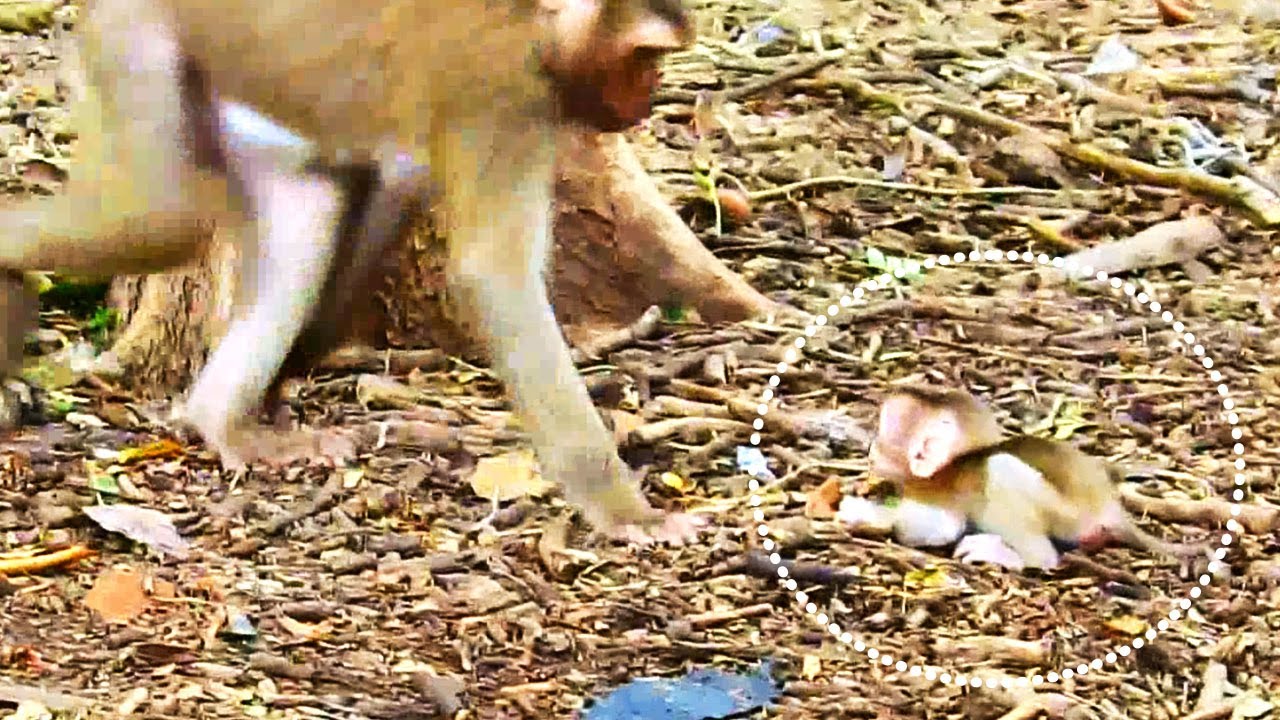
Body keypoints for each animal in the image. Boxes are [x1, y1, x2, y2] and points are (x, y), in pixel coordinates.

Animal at [0, 0, 703, 545]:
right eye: (642, 57)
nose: (648, 96)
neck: (538, 26)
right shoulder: (504, 101)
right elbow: (492, 274)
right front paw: (623, 510)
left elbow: (391, 182)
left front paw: (287, 380)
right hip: (135, 41)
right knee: (167, 218)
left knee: (305, 210)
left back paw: (222, 420)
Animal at [868, 385, 1207, 571]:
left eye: (883, 435)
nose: (870, 449)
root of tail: (1111, 509)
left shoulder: (937, 486)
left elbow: (933, 530)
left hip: (1068, 517)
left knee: (1000, 467)